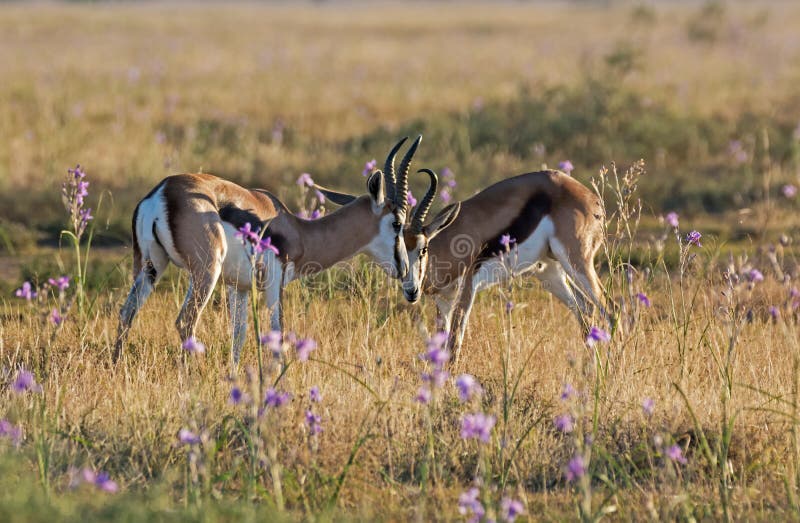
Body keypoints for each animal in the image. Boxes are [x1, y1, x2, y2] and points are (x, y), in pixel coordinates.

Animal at [114, 137, 422, 363]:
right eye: (397, 223)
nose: (407, 276)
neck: (297, 229)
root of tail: (164, 191)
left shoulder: (238, 286)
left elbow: (238, 335)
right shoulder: (274, 283)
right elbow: (278, 333)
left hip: (150, 267)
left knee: (127, 313)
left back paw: (117, 367)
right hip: (205, 272)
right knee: (185, 321)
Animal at [399, 168, 611, 359]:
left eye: (423, 248)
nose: (411, 291)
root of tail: (592, 198)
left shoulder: (467, 288)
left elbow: (455, 342)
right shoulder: (444, 300)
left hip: (576, 261)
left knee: (609, 308)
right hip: (550, 273)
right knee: (586, 309)